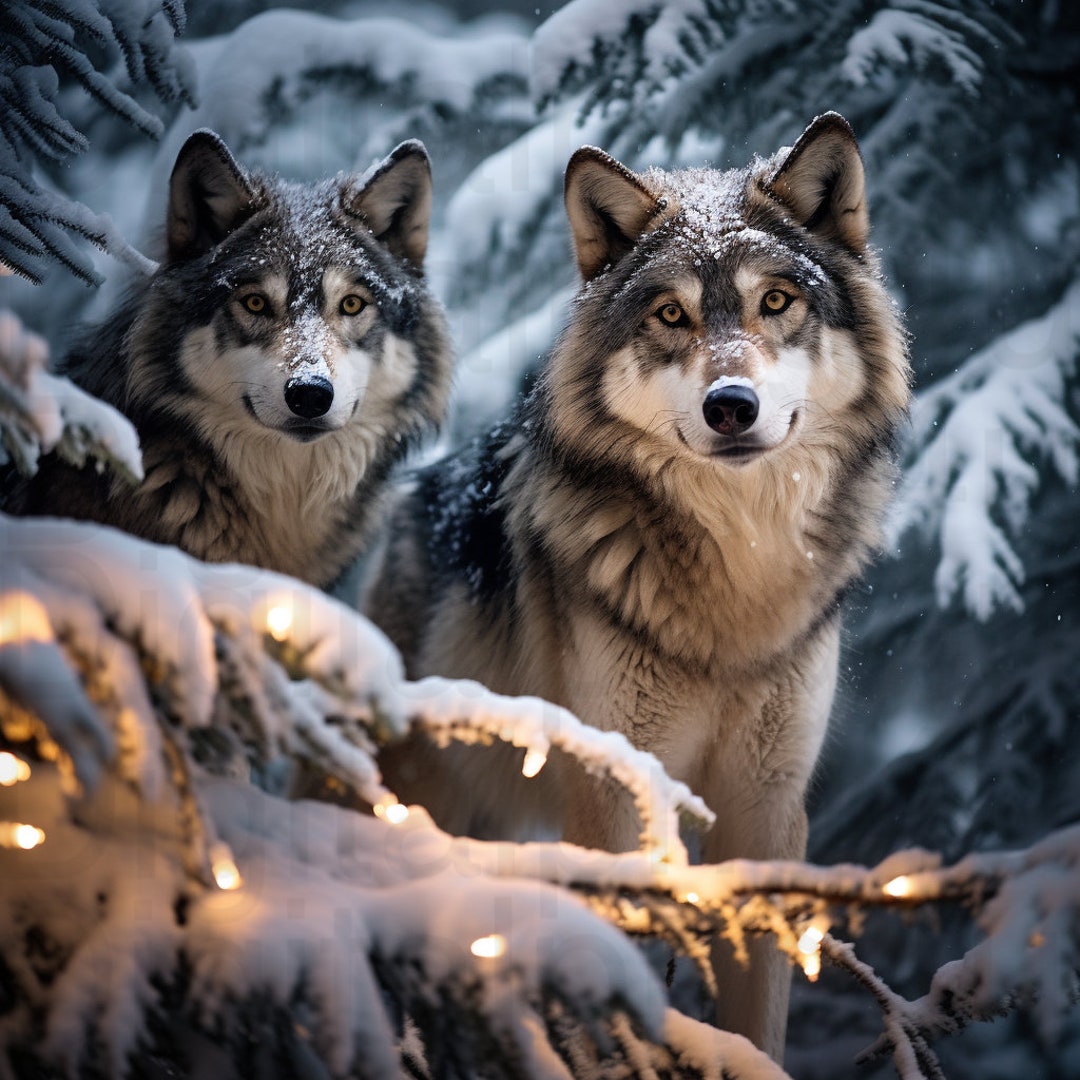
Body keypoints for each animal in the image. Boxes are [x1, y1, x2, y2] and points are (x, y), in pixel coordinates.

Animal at [366, 113, 910, 1057]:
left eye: (777, 302)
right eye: (670, 314)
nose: (731, 405)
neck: (737, 582)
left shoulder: (767, 808)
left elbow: (759, 1012)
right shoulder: (615, 799)